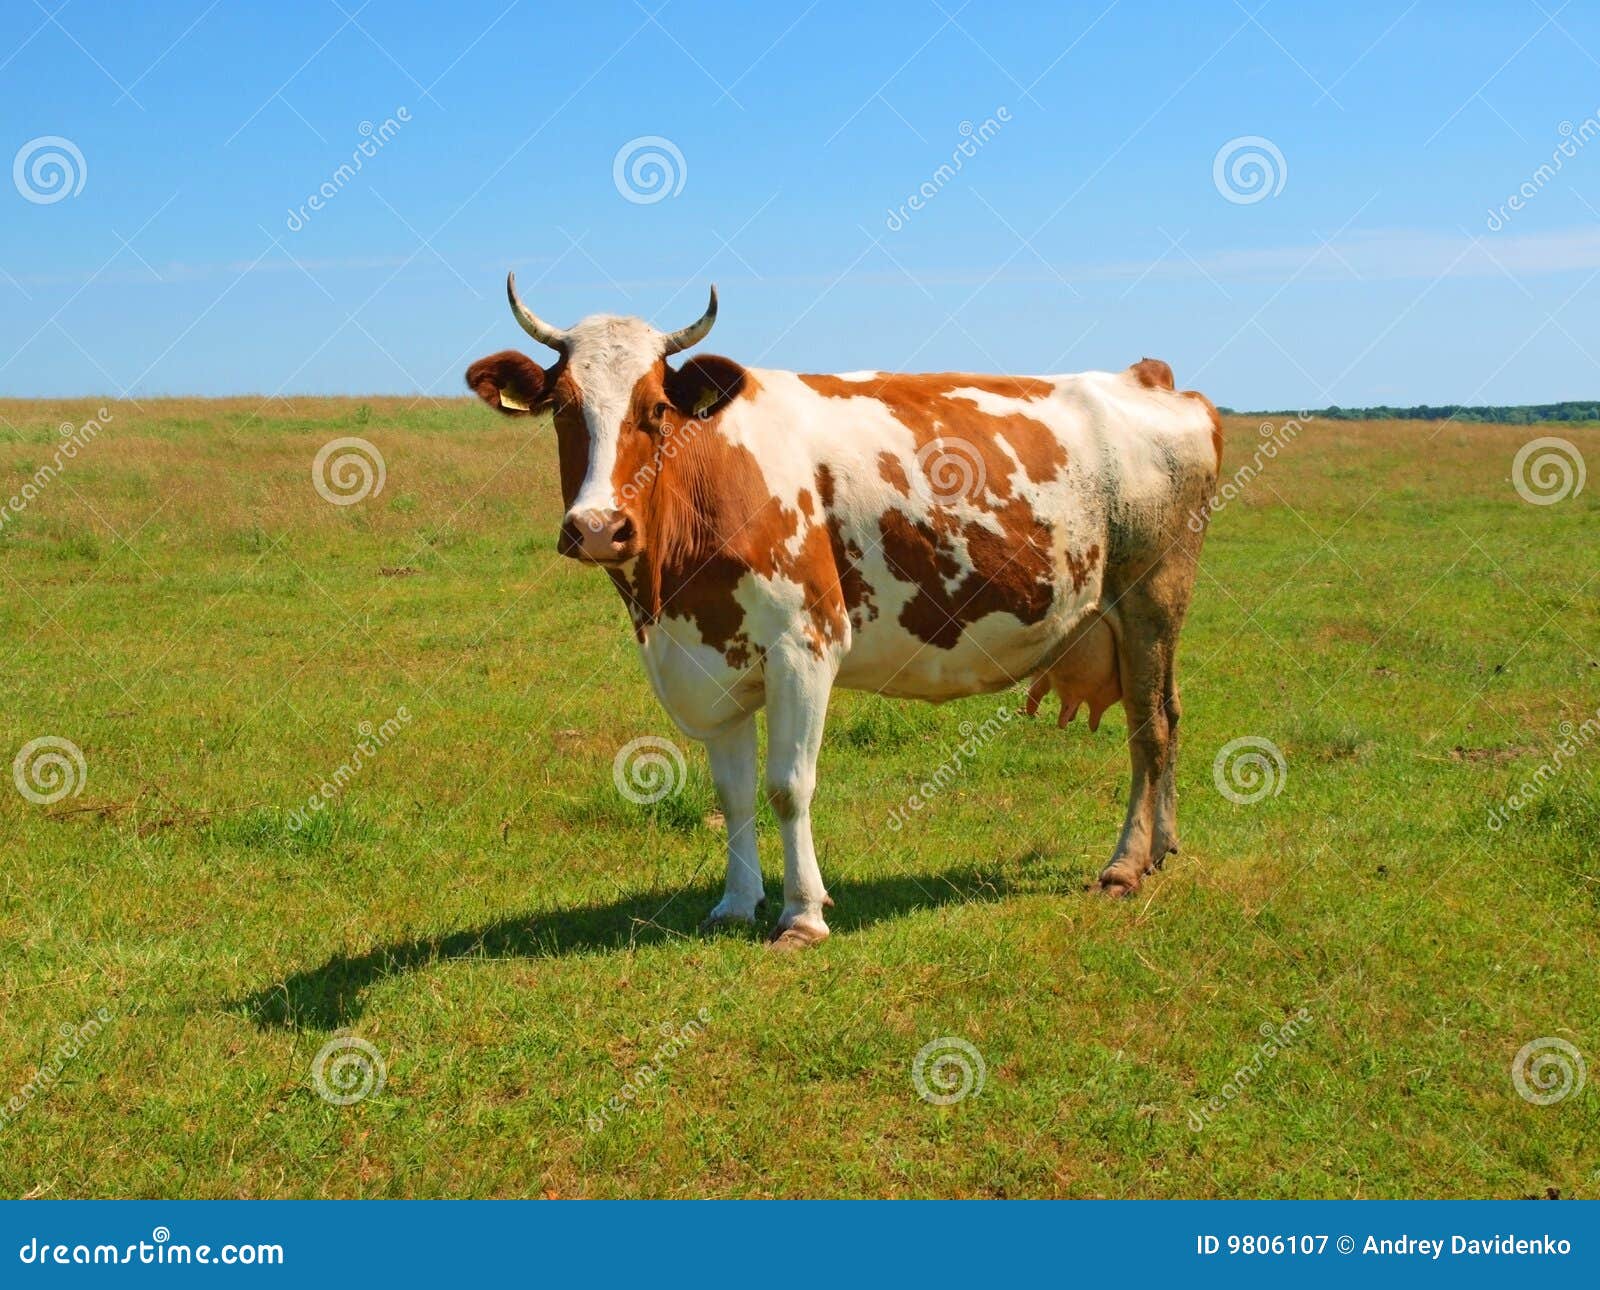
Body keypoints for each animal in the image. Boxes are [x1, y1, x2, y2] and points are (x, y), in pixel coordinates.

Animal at [467, 277, 1221, 949]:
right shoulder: (713, 659)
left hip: (1152, 599)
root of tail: (1147, 379)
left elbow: (788, 787)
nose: (598, 528)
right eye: (563, 408)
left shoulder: (806, 644)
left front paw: (801, 915)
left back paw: (1125, 865)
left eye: (655, 409)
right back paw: (1163, 848)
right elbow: (733, 793)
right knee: (1173, 711)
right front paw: (735, 905)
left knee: (1149, 729)